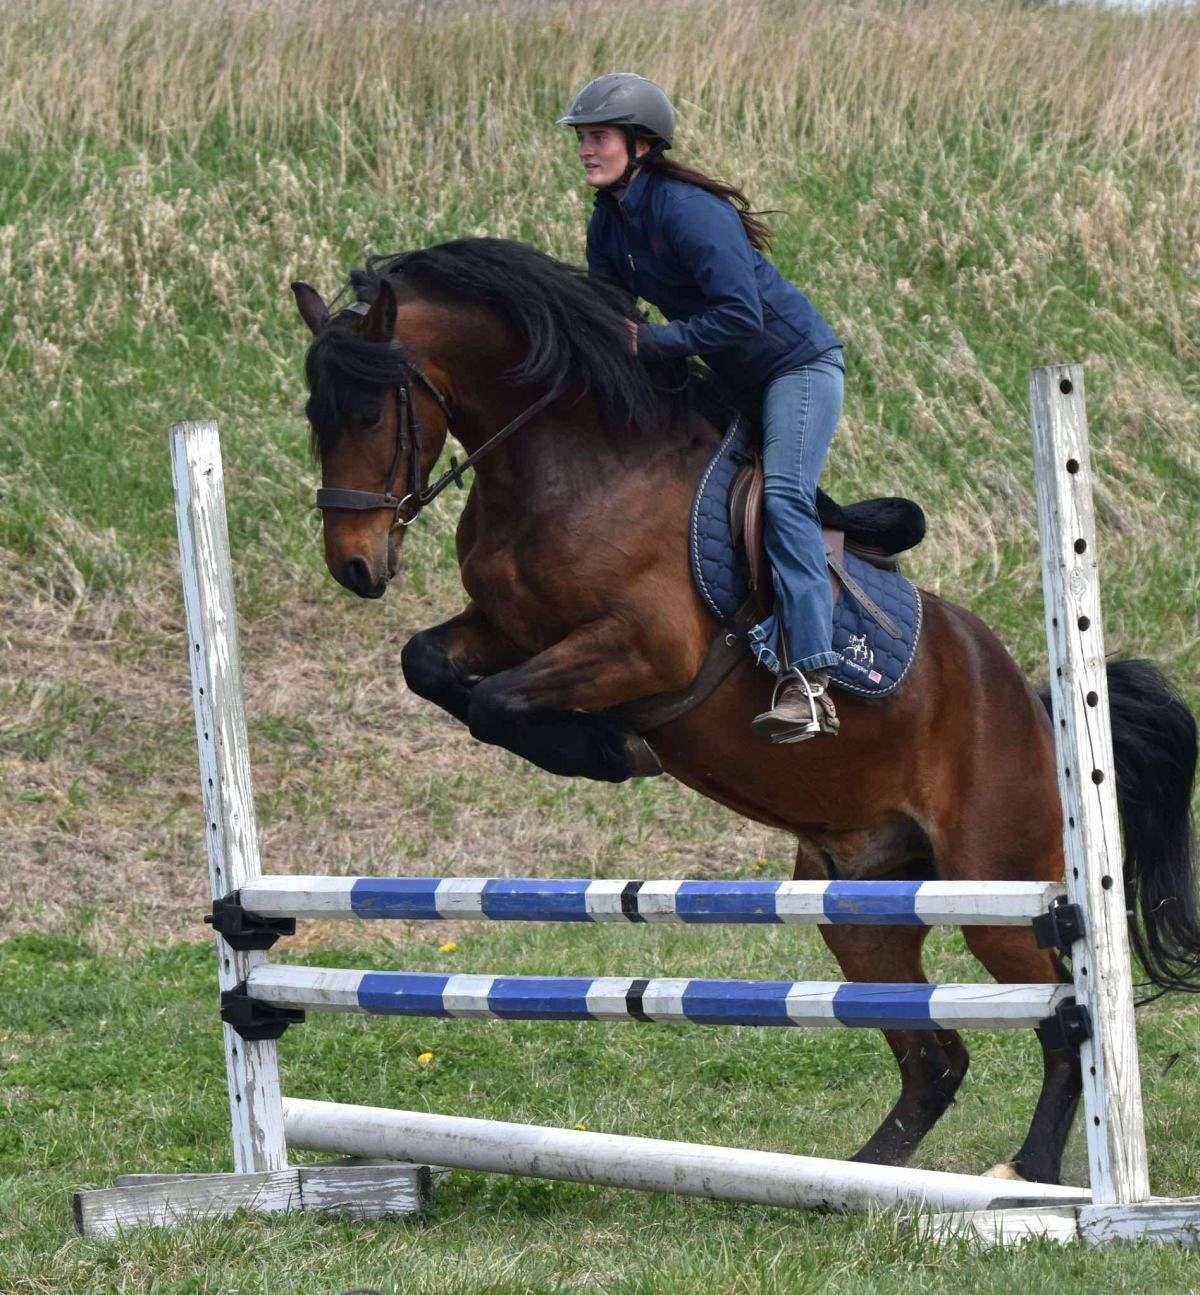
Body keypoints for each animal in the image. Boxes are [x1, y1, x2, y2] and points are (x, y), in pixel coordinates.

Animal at [291, 236, 1199, 1186]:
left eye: (366, 412)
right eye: (315, 417)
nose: (354, 564)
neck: (571, 463)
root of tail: (1033, 702)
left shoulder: (642, 647)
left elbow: (500, 701)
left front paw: (609, 747)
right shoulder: (504, 627)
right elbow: (429, 664)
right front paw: (590, 740)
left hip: (996, 881)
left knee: (1061, 1021)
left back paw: (1025, 1172)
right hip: (859, 910)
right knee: (936, 1056)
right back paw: (864, 1175)